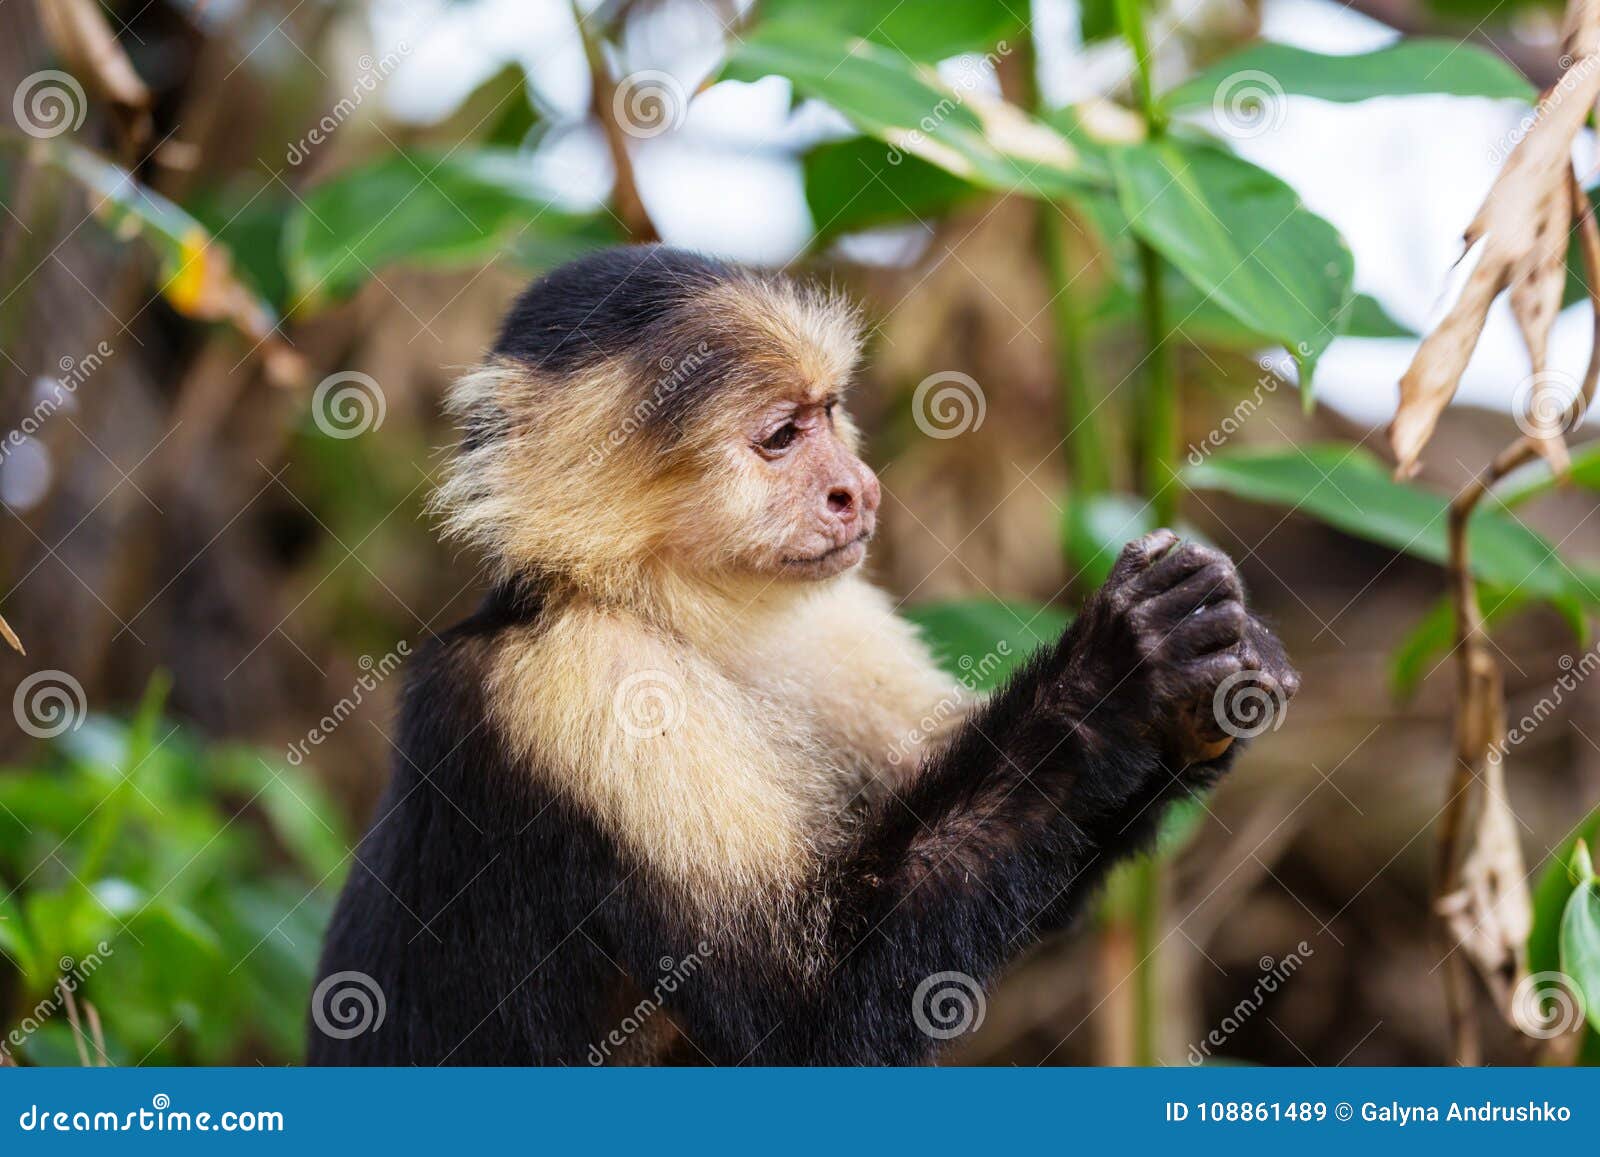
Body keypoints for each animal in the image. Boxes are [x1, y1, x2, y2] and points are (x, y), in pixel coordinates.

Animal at [308, 245, 1298, 1066]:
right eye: (781, 436)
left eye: (828, 414)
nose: (858, 488)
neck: (672, 611)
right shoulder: (589, 678)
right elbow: (804, 1015)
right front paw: (1122, 669)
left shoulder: (835, 618)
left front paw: (1208, 694)